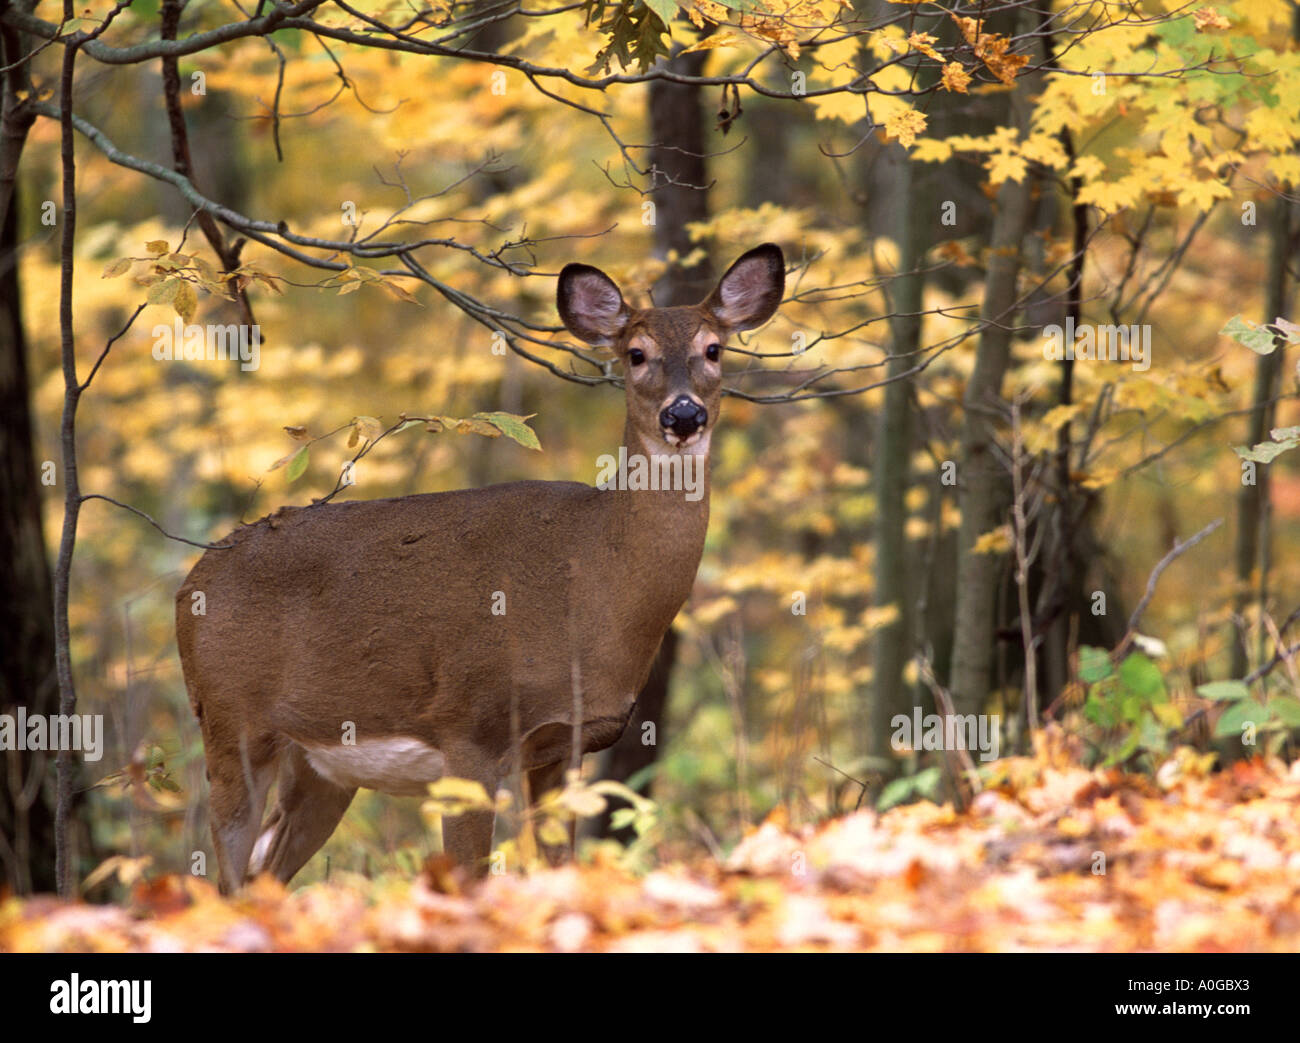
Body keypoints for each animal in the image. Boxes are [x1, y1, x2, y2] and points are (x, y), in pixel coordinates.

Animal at [176, 243, 785, 893]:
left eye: (714, 349)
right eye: (636, 353)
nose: (684, 415)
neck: (592, 575)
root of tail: (191, 583)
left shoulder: (563, 746)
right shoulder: (469, 726)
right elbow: (468, 875)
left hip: (318, 763)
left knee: (265, 872)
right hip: (230, 721)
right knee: (228, 872)